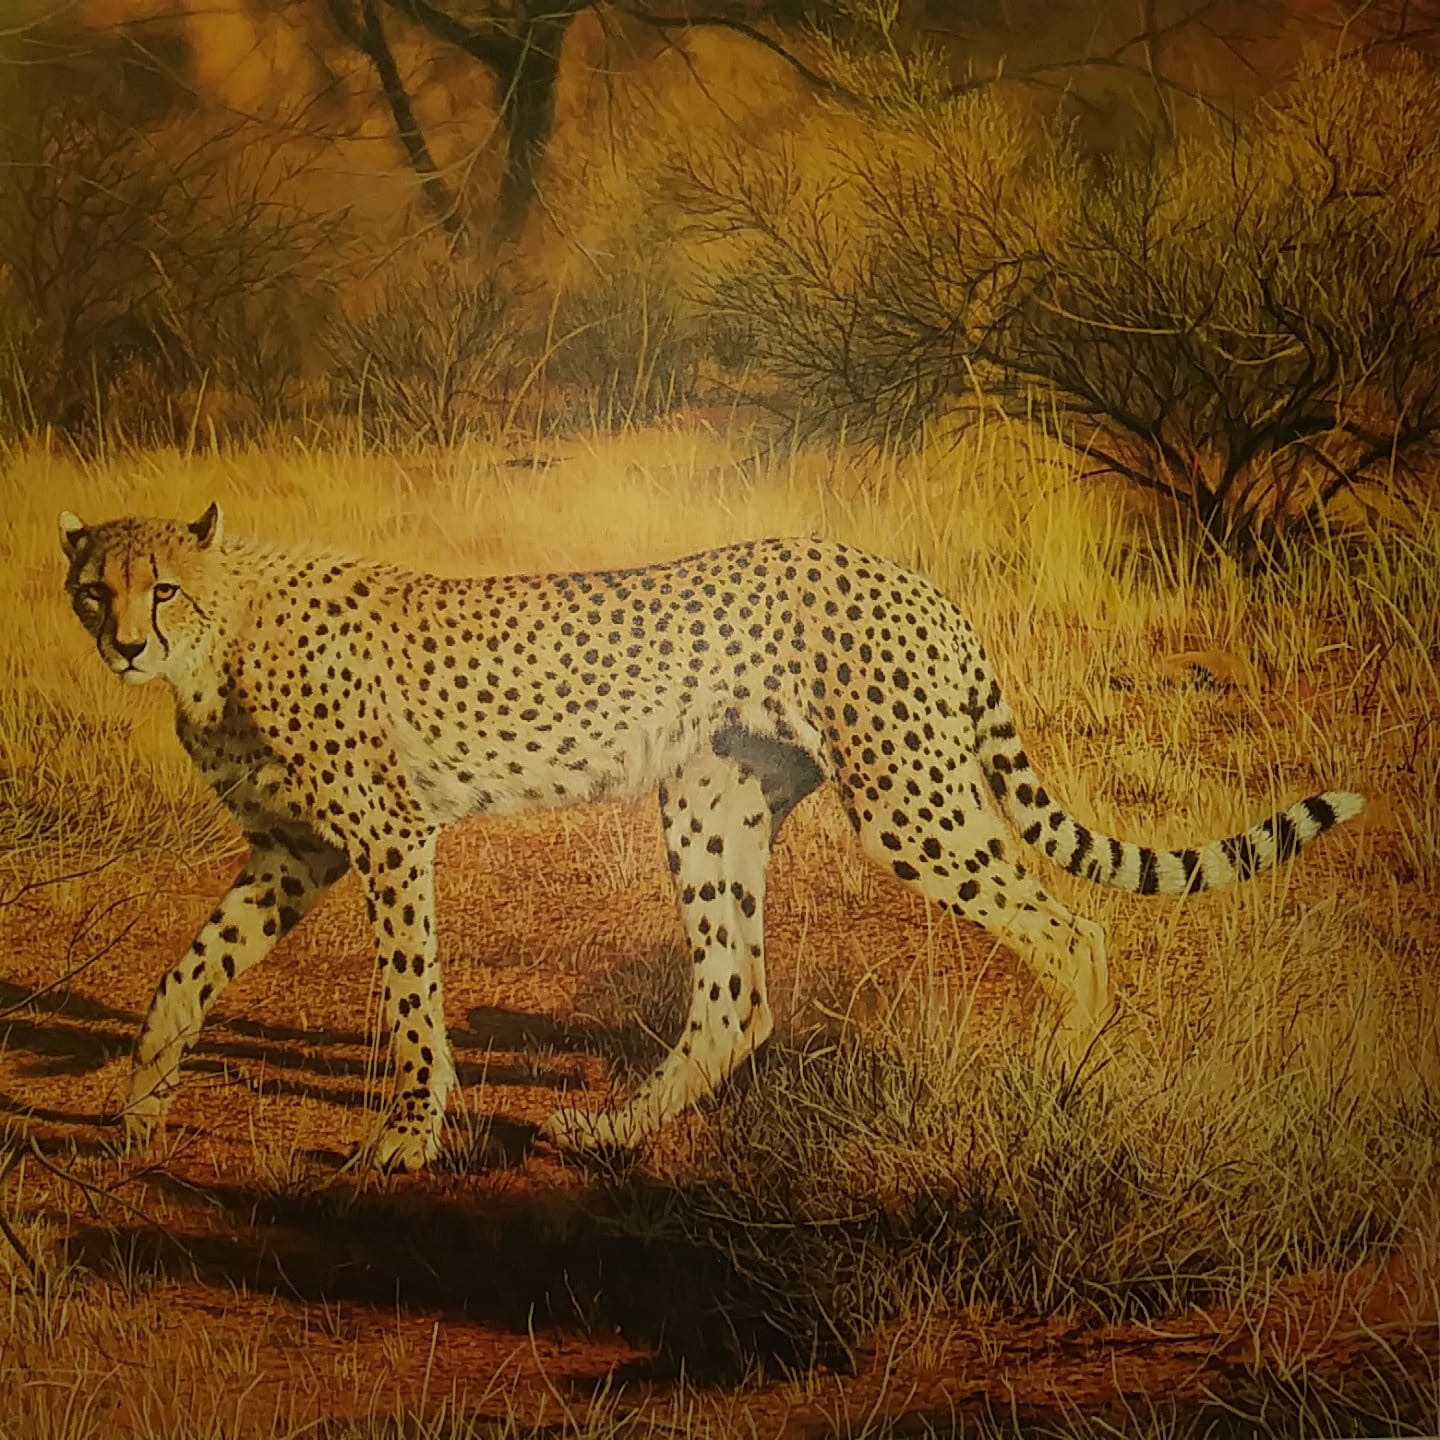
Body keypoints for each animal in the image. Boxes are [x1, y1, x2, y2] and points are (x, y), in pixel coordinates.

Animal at [59, 504, 1363, 1170]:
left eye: (161, 587)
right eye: (93, 588)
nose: (121, 646)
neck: (220, 636)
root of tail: (906, 575)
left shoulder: (385, 838)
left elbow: (412, 995)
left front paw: (411, 1135)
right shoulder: (297, 854)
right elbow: (186, 972)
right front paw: (140, 1102)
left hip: (910, 803)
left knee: (1072, 927)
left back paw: (1060, 1081)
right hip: (709, 811)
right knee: (739, 998)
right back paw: (612, 1133)